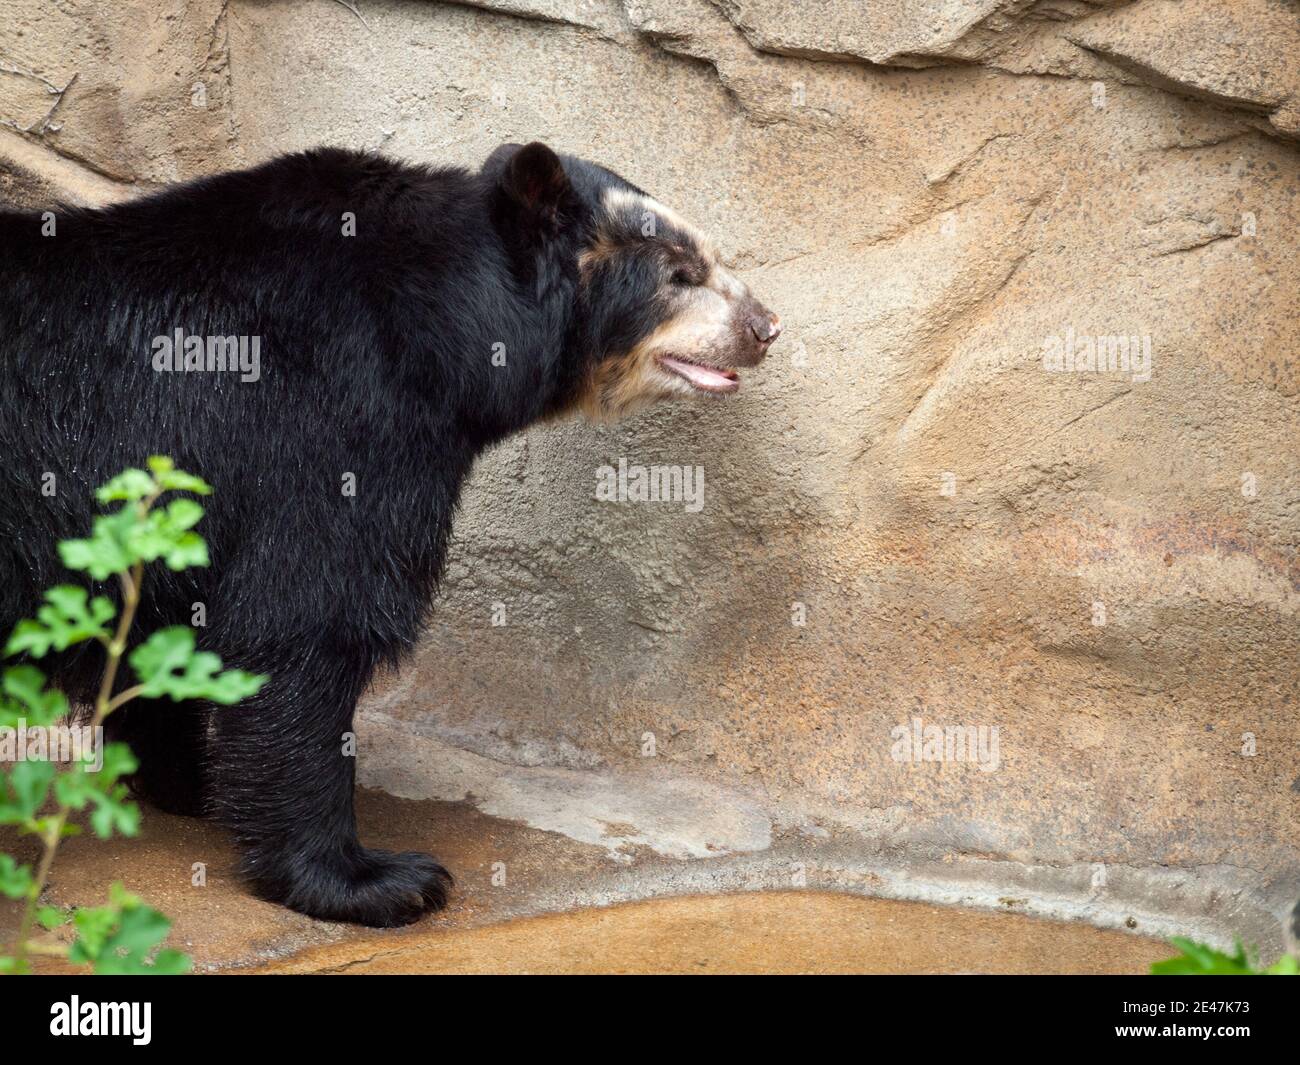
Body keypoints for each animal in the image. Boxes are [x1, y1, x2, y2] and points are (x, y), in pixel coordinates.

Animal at [0, 142, 780, 926]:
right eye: (679, 274)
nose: (766, 328)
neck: (438, 324)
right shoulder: (331, 423)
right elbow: (308, 619)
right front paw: (376, 878)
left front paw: (190, 784)